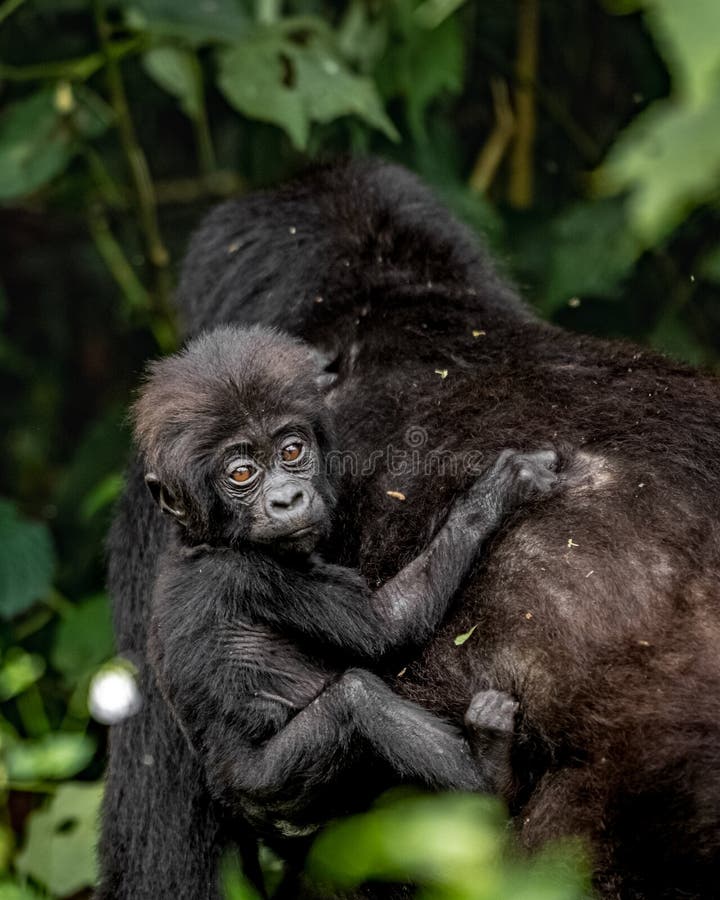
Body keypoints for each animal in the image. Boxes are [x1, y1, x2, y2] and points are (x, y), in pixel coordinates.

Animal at [133, 323, 558, 835]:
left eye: (291, 451)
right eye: (241, 473)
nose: (287, 498)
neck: (204, 539)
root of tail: (230, 793)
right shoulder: (254, 573)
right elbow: (383, 629)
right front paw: (501, 488)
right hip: (271, 787)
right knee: (354, 701)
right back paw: (491, 778)